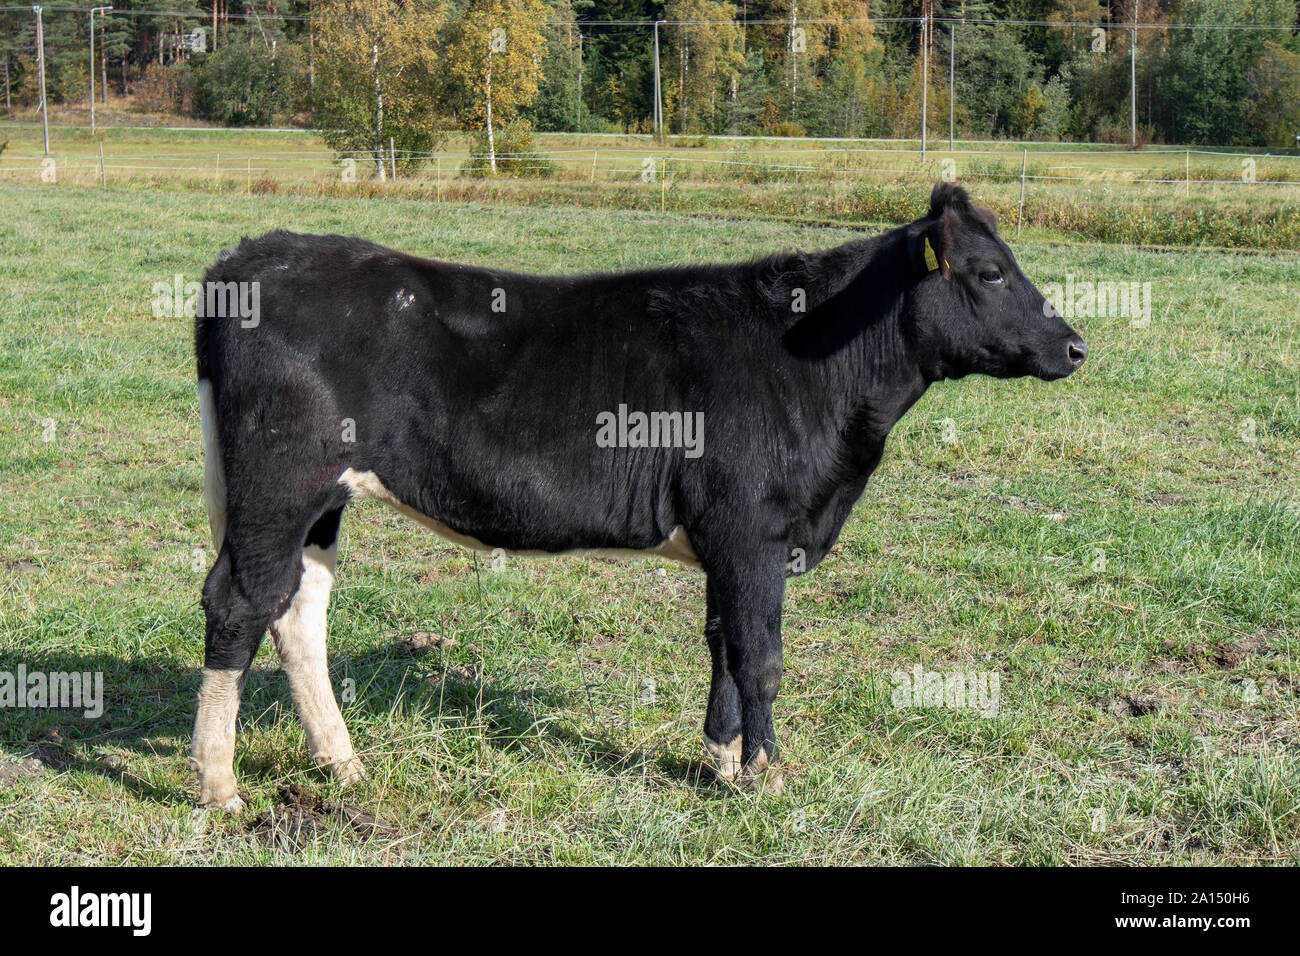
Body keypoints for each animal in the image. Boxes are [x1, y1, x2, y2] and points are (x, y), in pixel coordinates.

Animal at [191, 183, 1085, 809]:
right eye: (989, 271)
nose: (1075, 346)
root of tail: (252, 256)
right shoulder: (753, 529)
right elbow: (761, 657)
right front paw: (769, 776)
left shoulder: (727, 538)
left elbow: (722, 644)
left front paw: (722, 763)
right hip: (281, 484)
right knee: (239, 603)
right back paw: (219, 784)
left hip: (319, 503)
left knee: (298, 613)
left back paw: (343, 764)